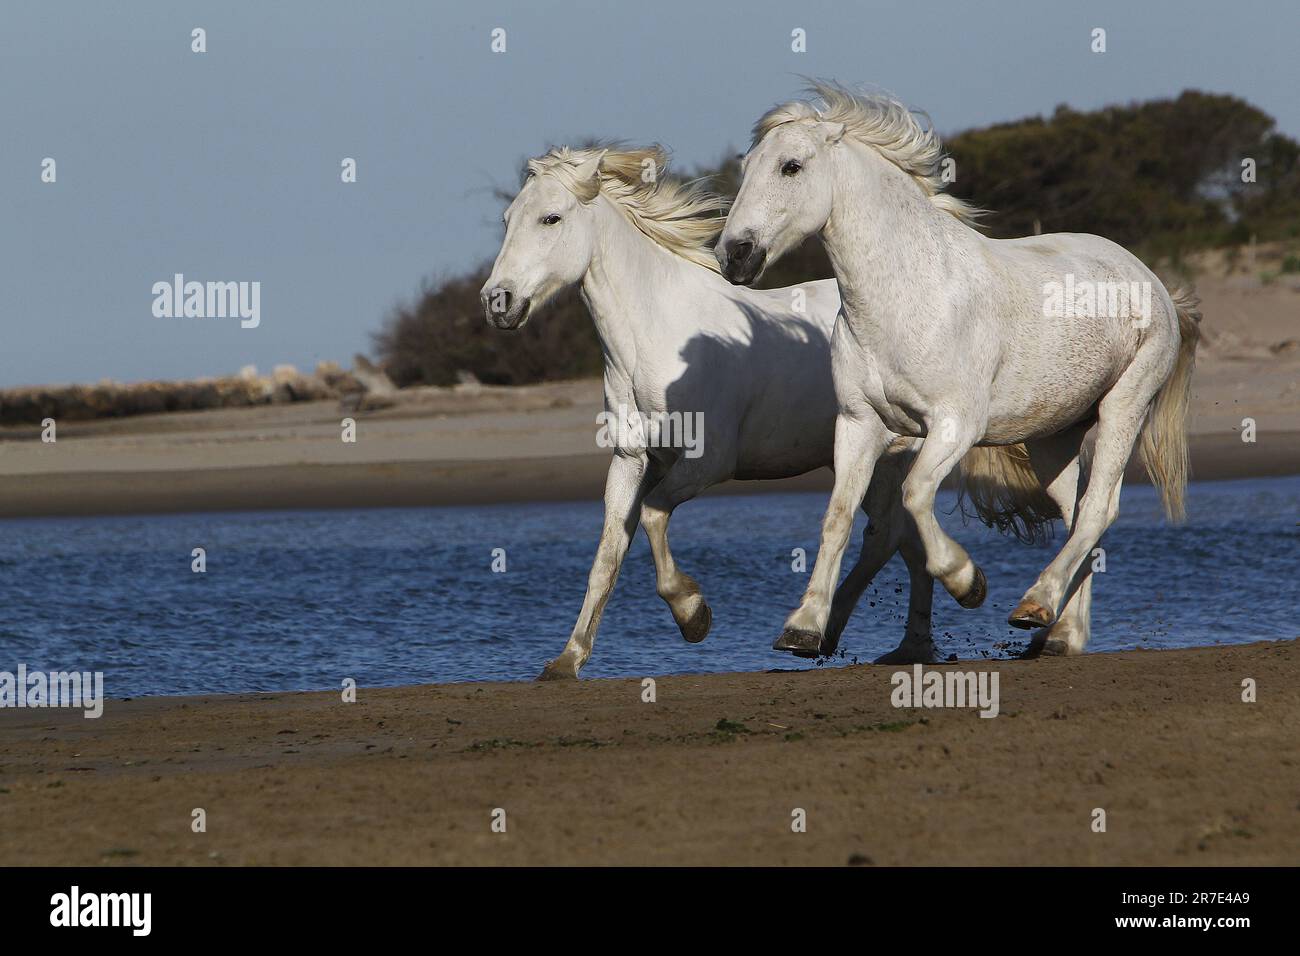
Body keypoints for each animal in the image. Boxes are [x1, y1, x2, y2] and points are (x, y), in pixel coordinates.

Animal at [480, 144, 1051, 678]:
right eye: (508, 220)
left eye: (551, 218)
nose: (497, 303)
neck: (654, 339)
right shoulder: (629, 461)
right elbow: (606, 557)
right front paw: (566, 660)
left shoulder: (707, 463)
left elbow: (653, 516)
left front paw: (693, 615)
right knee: (902, 540)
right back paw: (896, 645)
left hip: (897, 450)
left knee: (892, 535)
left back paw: (851, 628)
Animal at [718, 82, 1200, 657]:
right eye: (746, 167)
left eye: (791, 166)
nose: (734, 256)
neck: (908, 296)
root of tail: (1153, 281)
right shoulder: (858, 423)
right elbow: (837, 517)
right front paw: (804, 628)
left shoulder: (953, 426)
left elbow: (915, 494)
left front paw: (967, 582)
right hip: (1053, 436)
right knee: (1077, 512)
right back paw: (1059, 633)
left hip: (1124, 407)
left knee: (1099, 509)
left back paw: (1034, 605)